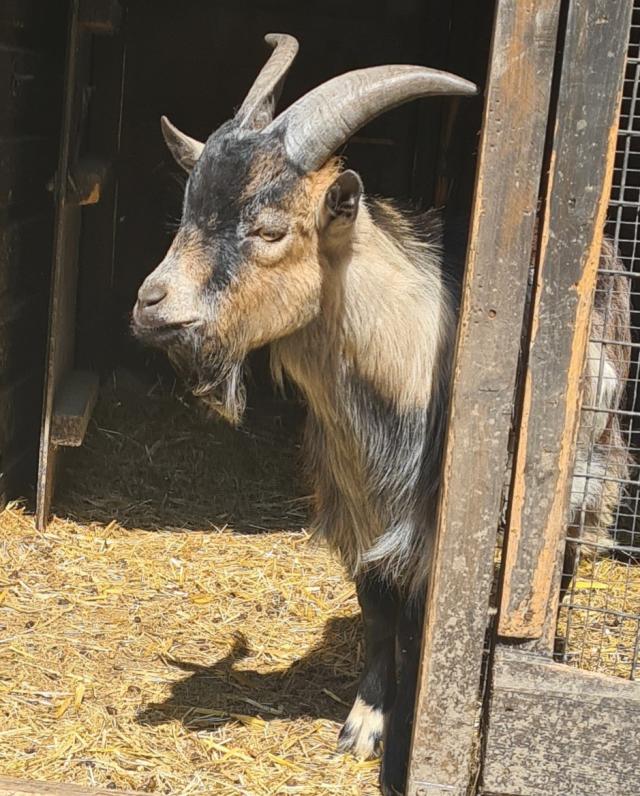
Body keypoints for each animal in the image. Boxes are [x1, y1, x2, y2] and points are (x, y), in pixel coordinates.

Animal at [131, 34, 629, 794]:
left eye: (269, 229)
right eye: (187, 213)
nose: (151, 306)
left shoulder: (436, 526)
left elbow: (424, 619)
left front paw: (405, 740)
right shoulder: (357, 504)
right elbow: (377, 612)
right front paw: (364, 723)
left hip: (591, 466)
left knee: (566, 554)